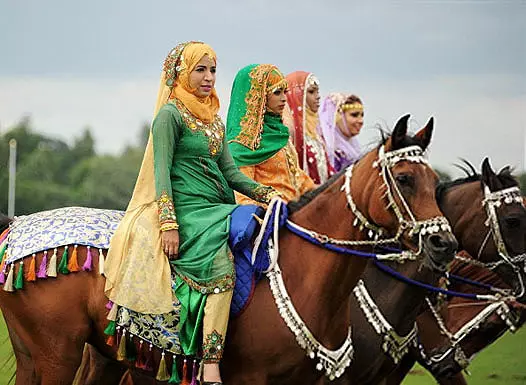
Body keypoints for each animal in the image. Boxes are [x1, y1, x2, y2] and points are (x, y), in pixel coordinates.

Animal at [0, 115, 458, 384]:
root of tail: (15, 229)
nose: (444, 243)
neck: (304, 275)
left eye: (435, 181)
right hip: (58, 353)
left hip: (75, 355)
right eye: (404, 178)